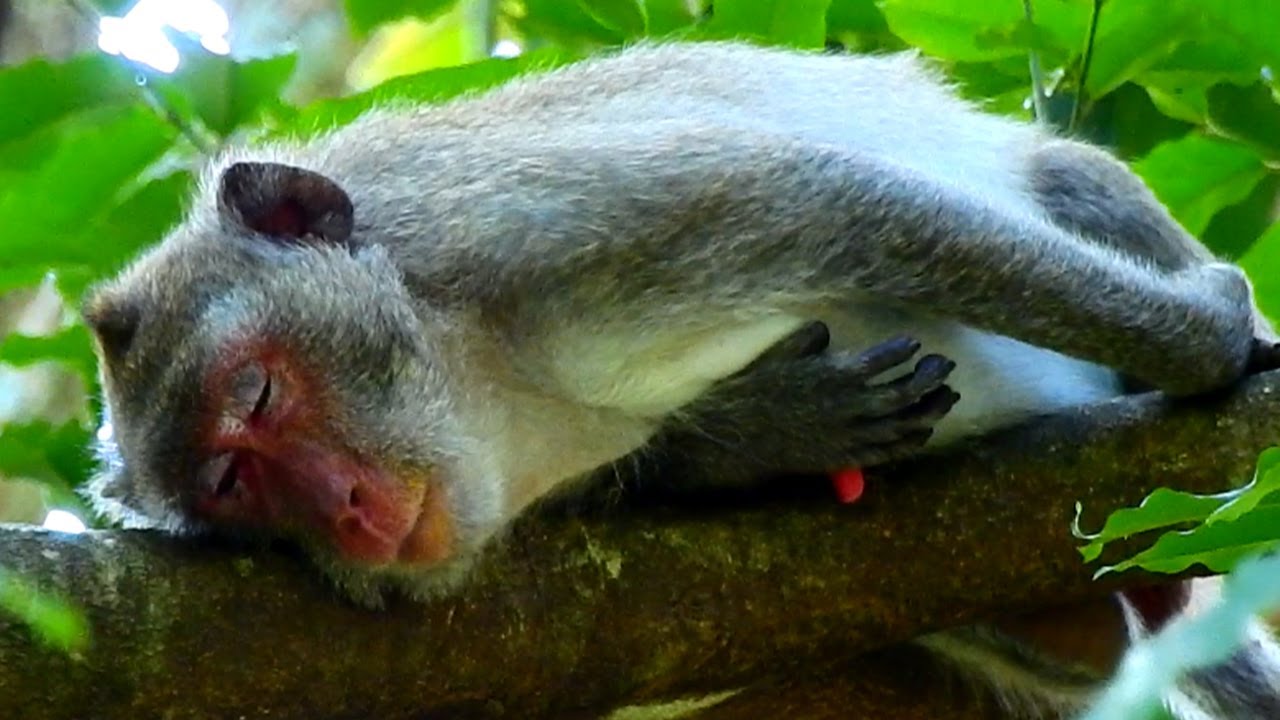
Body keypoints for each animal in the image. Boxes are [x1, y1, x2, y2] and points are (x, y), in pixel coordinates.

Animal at [78, 41, 1280, 717]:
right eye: (235, 491)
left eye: (259, 396)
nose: (347, 513)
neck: (489, 382)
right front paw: (773, 429)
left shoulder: (524, 230)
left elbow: (823, 203)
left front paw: (1213, 337)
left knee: (1064, 175)